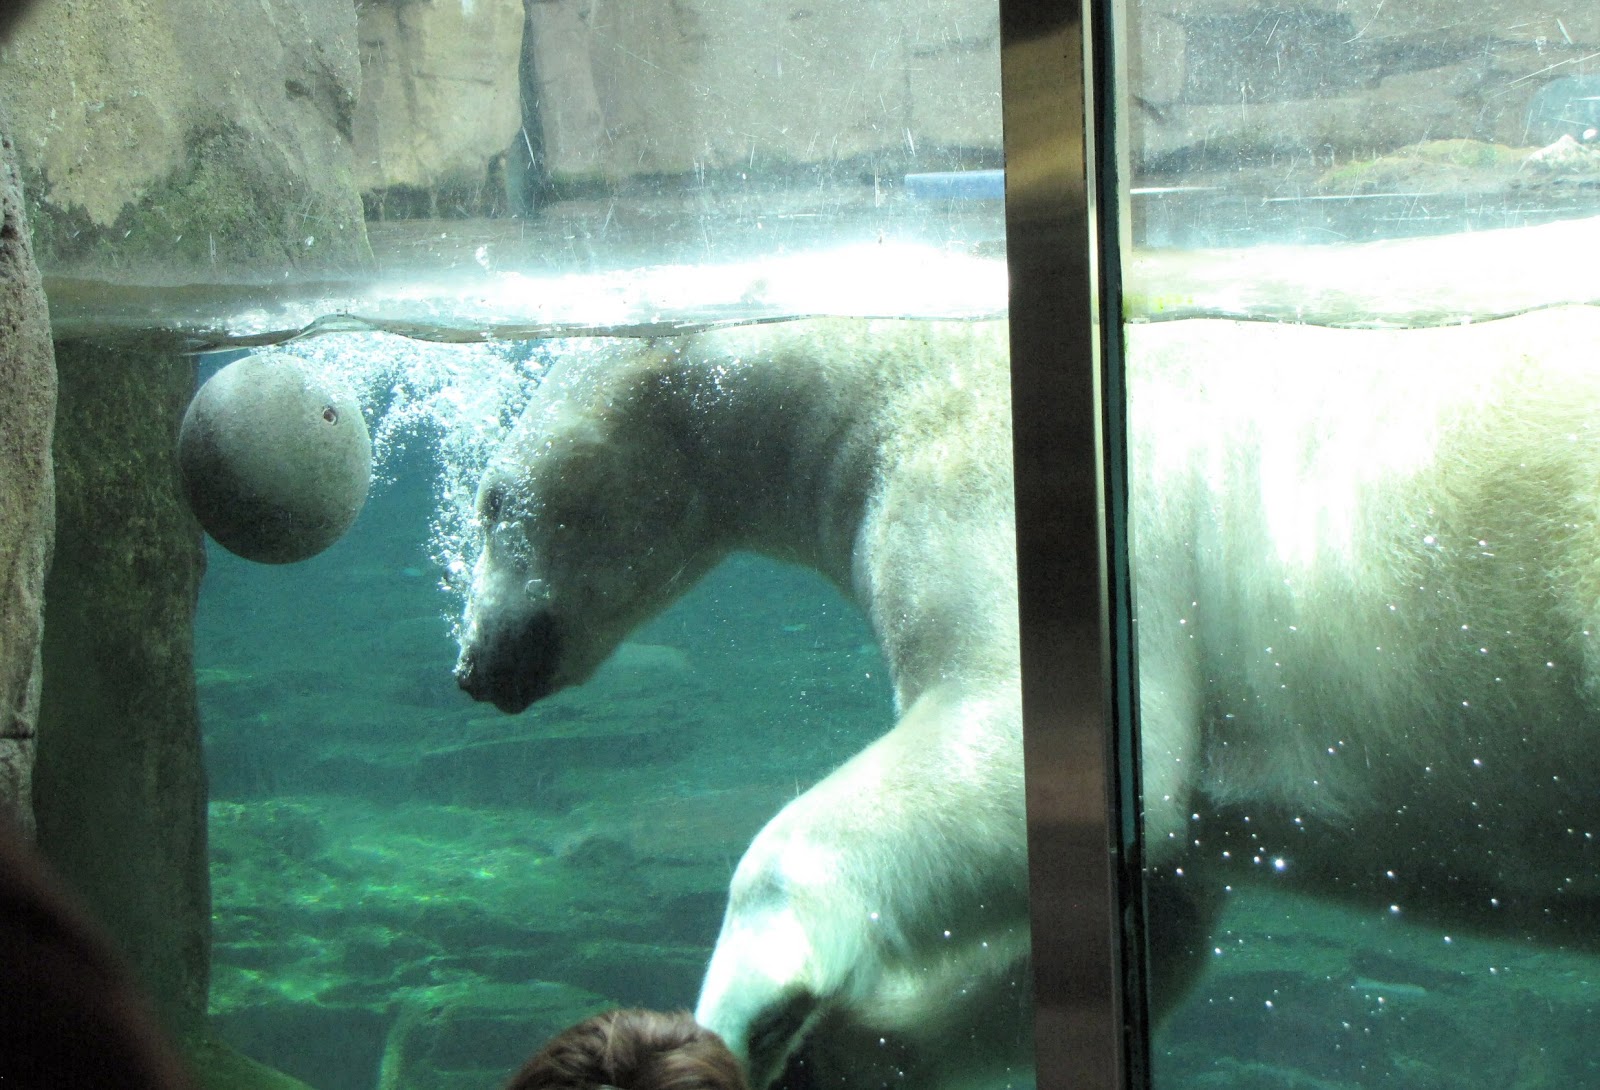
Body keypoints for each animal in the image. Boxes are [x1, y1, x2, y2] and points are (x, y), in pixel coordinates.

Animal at [455, 306, 1600, 1089]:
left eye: (491, 501)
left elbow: (1007, 746)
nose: (475, 665)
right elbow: (1150, 905)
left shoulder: (998, 485)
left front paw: (747, 1000)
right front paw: (833, 1047)